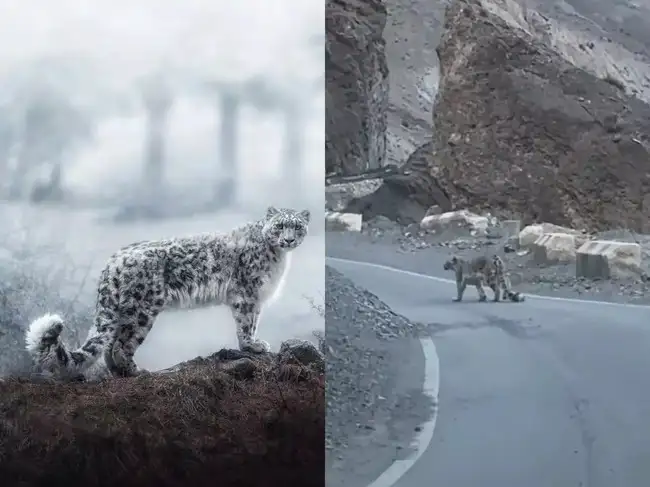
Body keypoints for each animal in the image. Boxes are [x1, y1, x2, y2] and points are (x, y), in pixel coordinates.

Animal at [25, 206, 311, 381]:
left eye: (297, 227)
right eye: (279, 226)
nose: (288, 240)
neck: (279, 258)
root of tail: (112, 262)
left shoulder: (256, 297)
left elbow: (253, 321)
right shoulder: (248, 294)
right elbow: (247, 323)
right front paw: (253, 346)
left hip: (123, 312)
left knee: (109, 345)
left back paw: (122, 373)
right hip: (141, 312)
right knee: (120, 346)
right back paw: (139, 372)